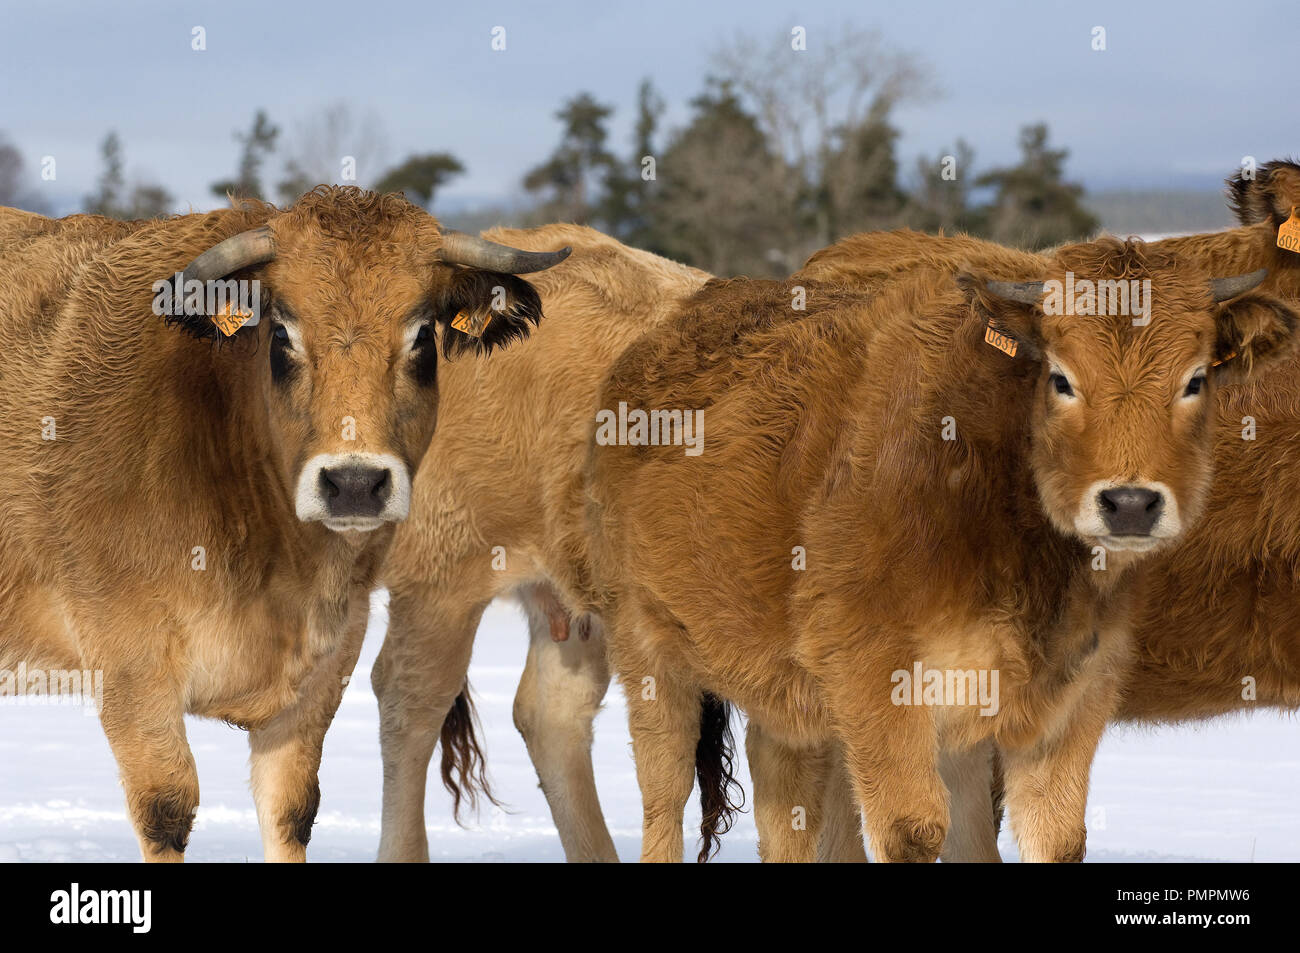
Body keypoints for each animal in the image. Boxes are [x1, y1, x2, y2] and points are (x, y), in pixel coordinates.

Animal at [0, 186, 568, 861]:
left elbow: (291, 809)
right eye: (282, 335)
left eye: (422, 336)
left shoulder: (324, 667)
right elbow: (166, 809)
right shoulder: (131, 666)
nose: (354, 482)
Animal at [566, 237, 1298, 863]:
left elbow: (1052, 838)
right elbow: (912, 832)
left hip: (786, 697)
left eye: (1196, 378)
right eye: (1061, 377)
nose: (1130, 502)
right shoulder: (880, 688)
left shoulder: (1069, 703)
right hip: (649, 656)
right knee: (664, 800)